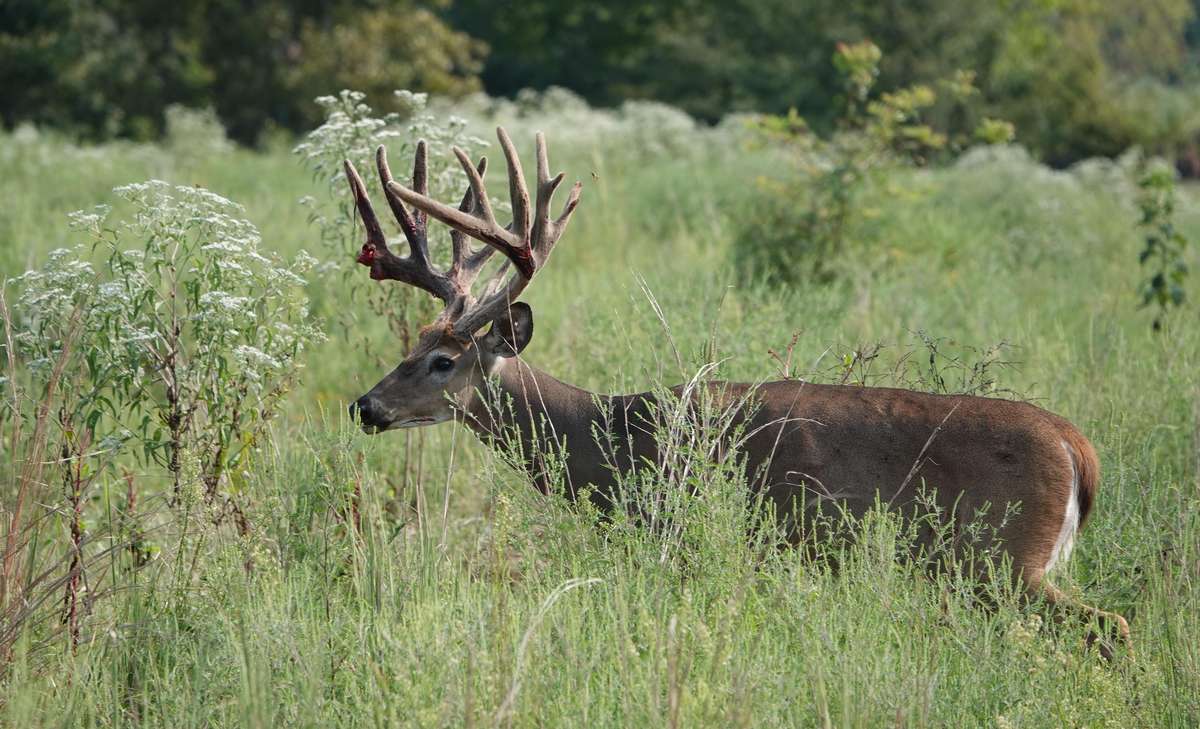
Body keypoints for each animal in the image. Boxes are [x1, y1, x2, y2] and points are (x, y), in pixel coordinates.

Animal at [343, 128, 1131, 656]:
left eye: (442, 360)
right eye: (410, 344)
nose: (365, 406)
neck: (616, 440)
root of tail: (1079, 448)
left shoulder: (684, 534)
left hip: (1008, 560)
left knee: (1113, 623)